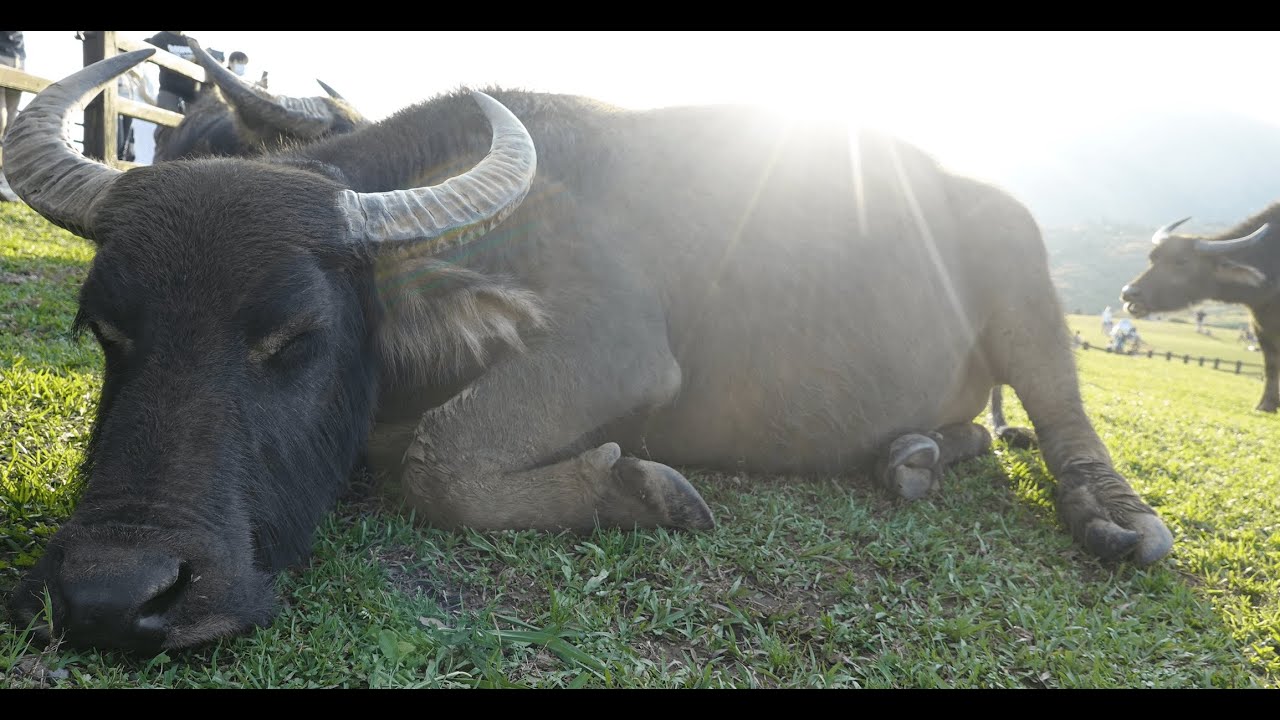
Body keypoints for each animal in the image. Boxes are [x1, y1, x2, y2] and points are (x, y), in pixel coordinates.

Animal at [5, 48, 1174, 654]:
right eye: (107, 332)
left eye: (293, 337)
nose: (116, 595)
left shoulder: (616, 350)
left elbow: (439, 457)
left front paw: (638, 489)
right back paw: (913, 456)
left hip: (1021, 266)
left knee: (1063, 414)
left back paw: (1112, 520)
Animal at [1121, 213, 1275, 412]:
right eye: (1152, 258)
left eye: (1182, 261)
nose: (1128, 292)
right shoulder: (1261, 327)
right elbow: (1271, 363)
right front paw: (1266, 405)